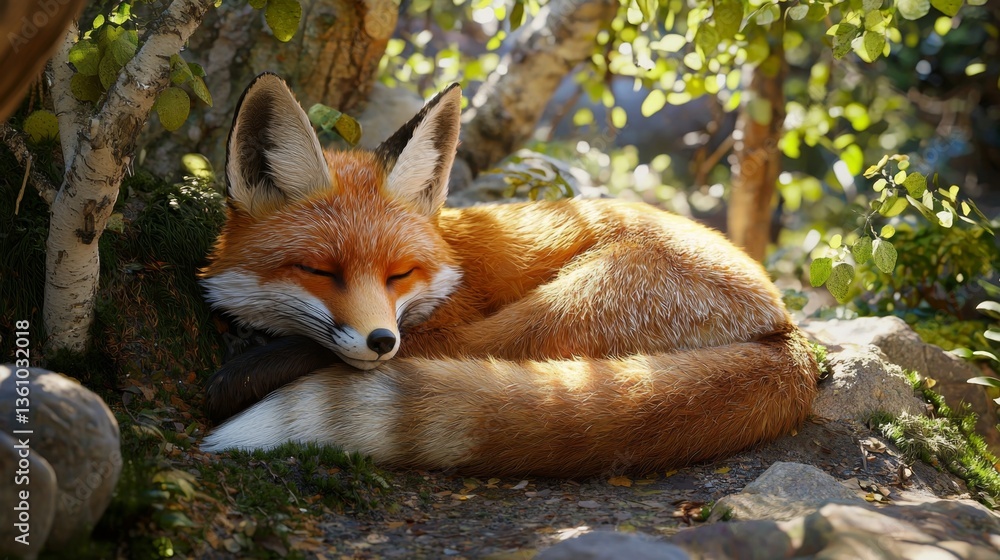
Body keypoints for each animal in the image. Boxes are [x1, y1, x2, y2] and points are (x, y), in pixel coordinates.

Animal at [199, 72, 819, 477]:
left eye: (400, 273)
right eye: (319, 270)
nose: (379, 341)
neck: (449, 263)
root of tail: (790, 332)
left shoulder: (442, 317)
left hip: (561, 308)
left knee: (456, 351)